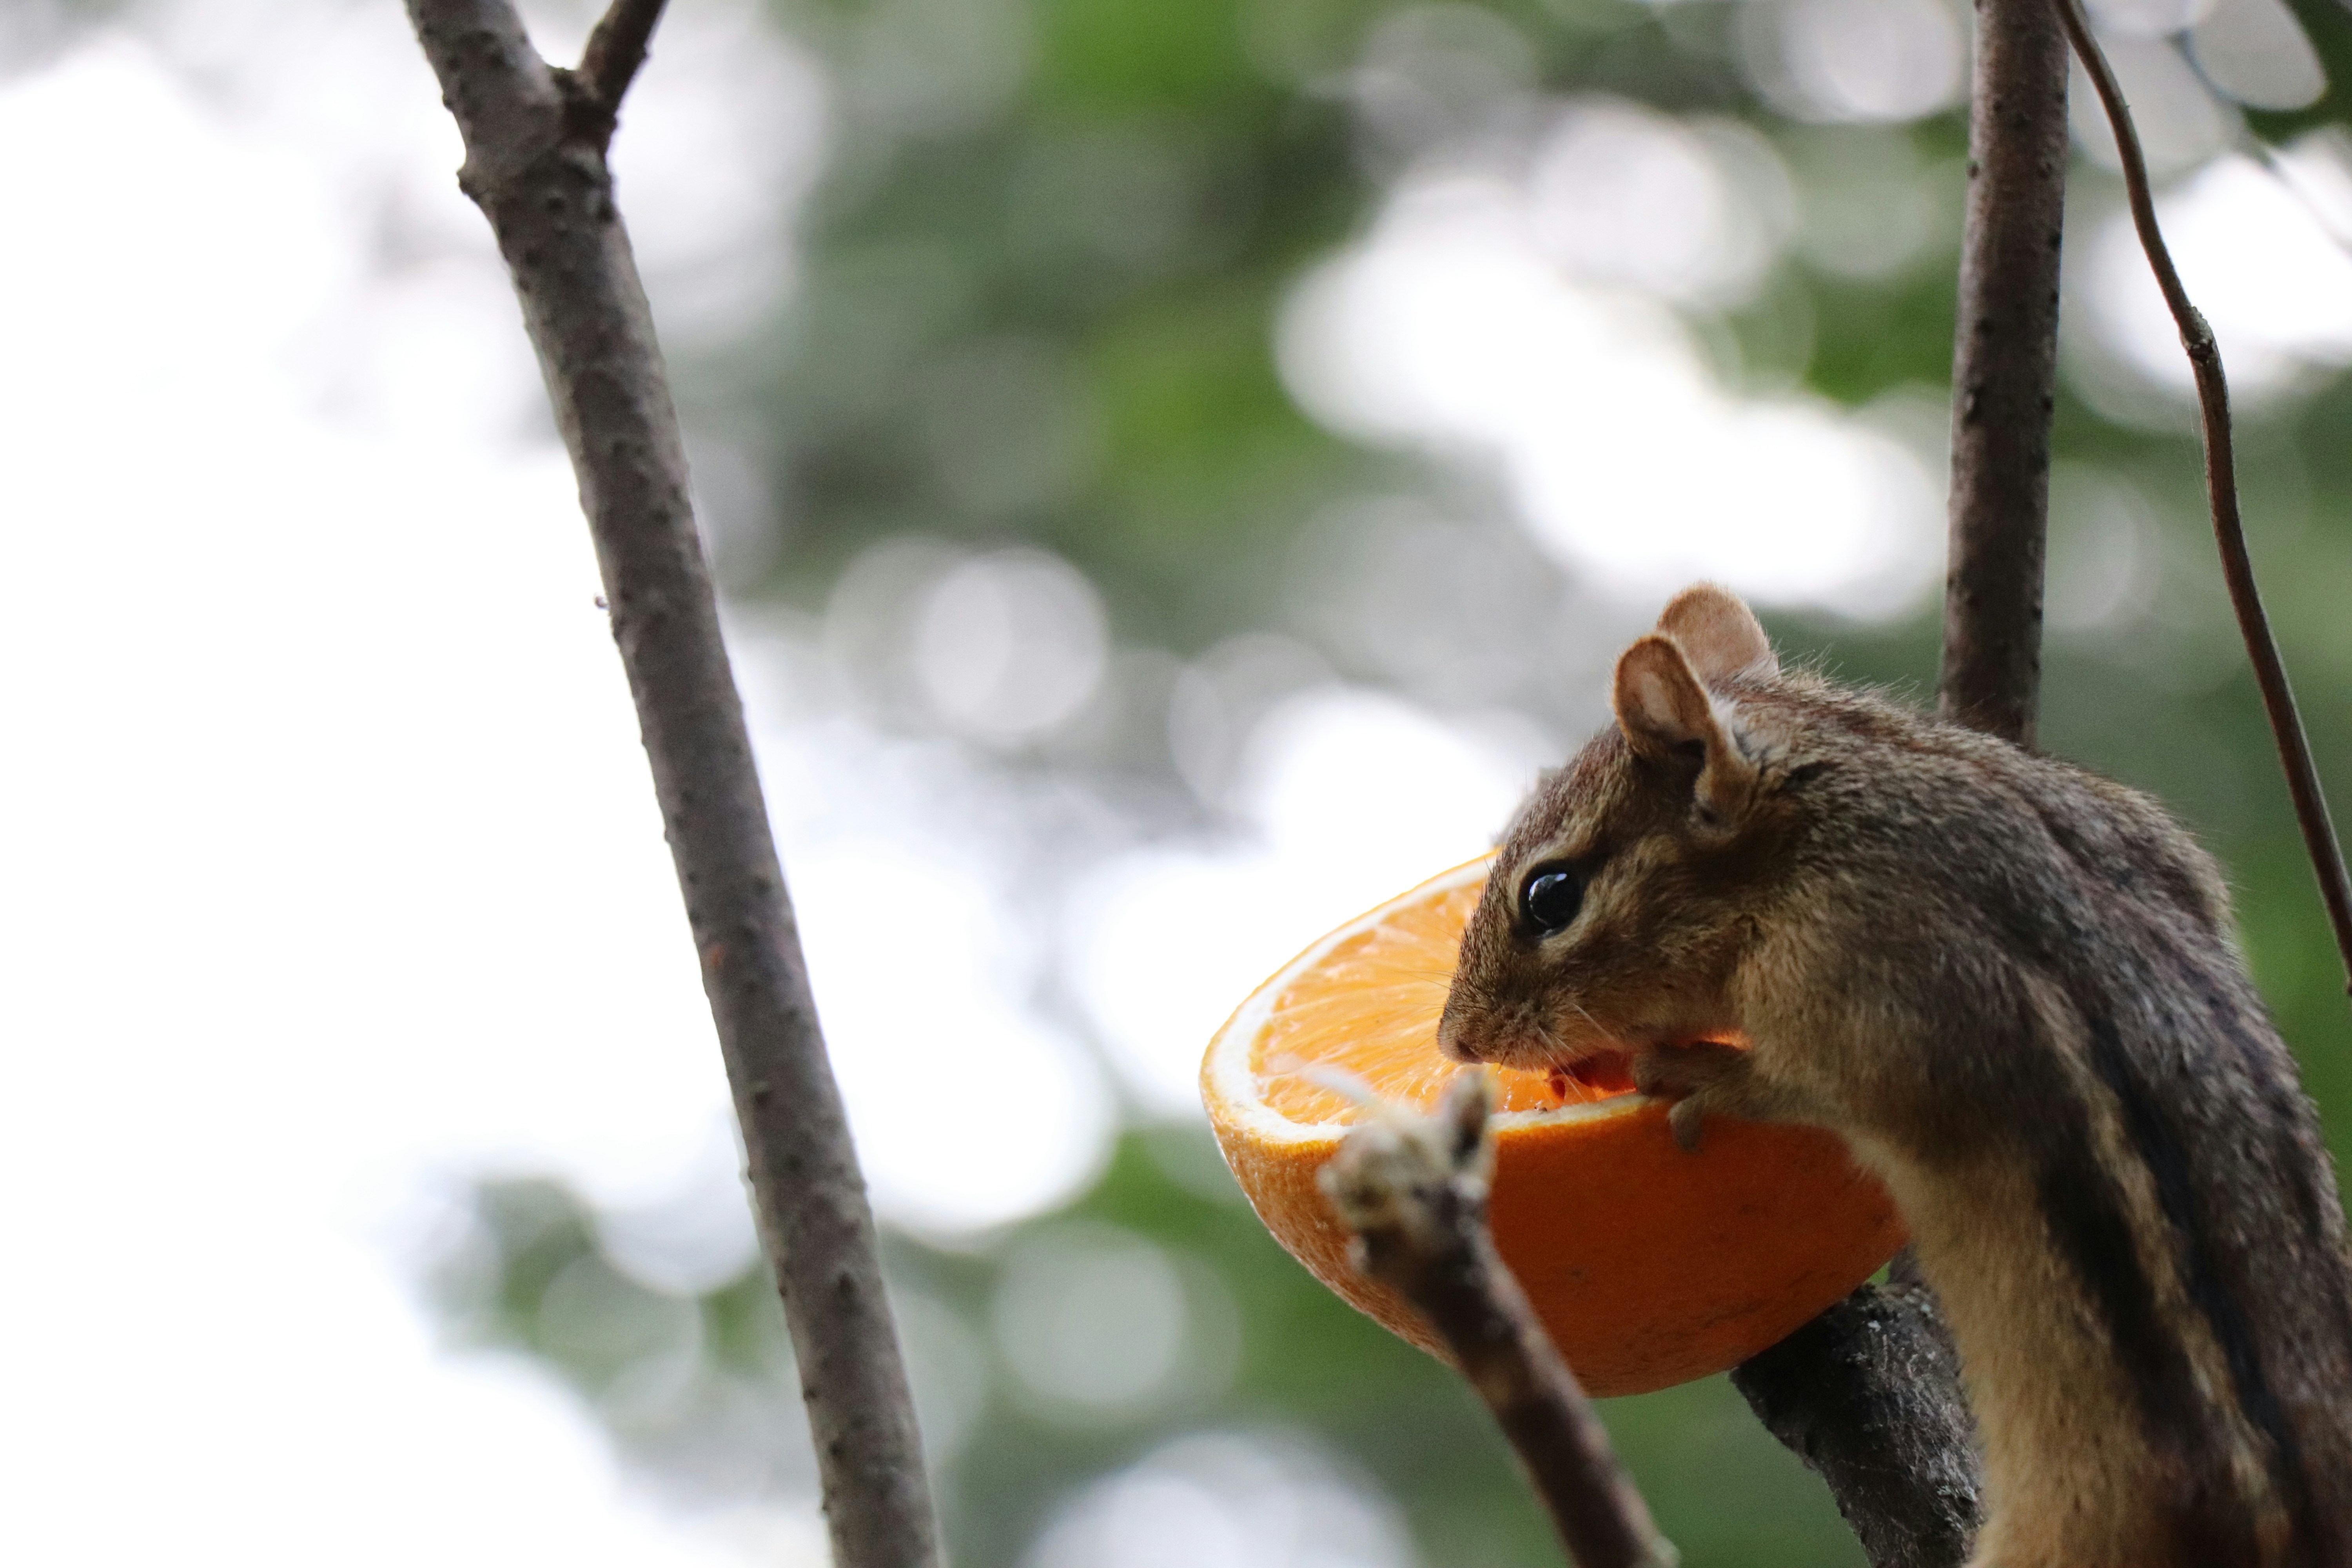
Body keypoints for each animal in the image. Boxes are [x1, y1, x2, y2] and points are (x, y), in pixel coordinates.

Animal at [1437, 583, 2352, 1568]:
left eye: (1551, 895)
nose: (1455, 1038)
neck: (1836, 806)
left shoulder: (1875, 988)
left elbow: (1821, 1087)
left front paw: (1697, 1071)